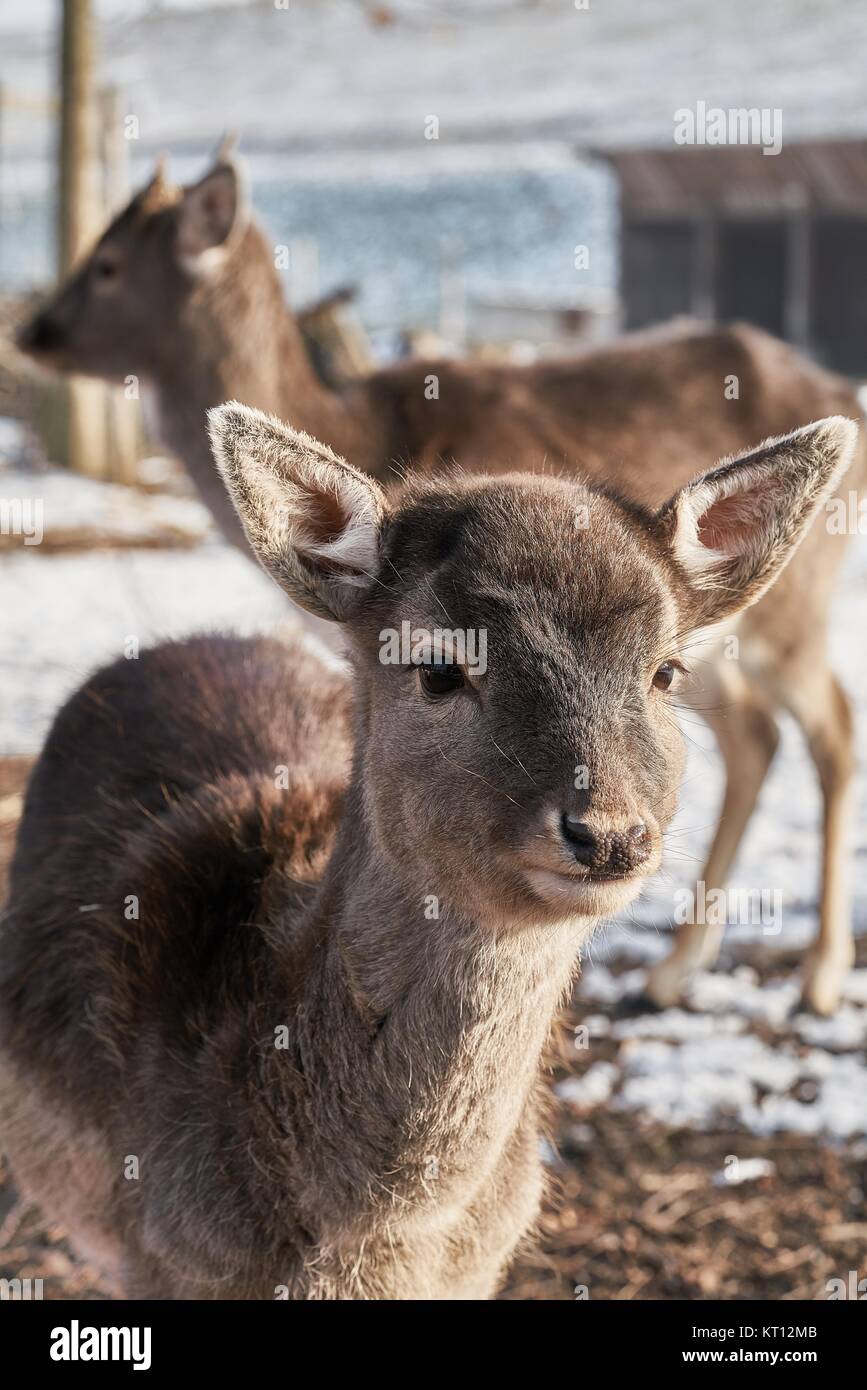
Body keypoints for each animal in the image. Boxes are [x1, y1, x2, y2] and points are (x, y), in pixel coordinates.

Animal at [14, 150, 866, 1015]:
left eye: (108, 262)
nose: (32, 332)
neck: (369, 433)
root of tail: (845, 393)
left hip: (795, 602)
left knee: (830, 724)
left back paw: (818, 977)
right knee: (755, 735)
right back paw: (672, 970)